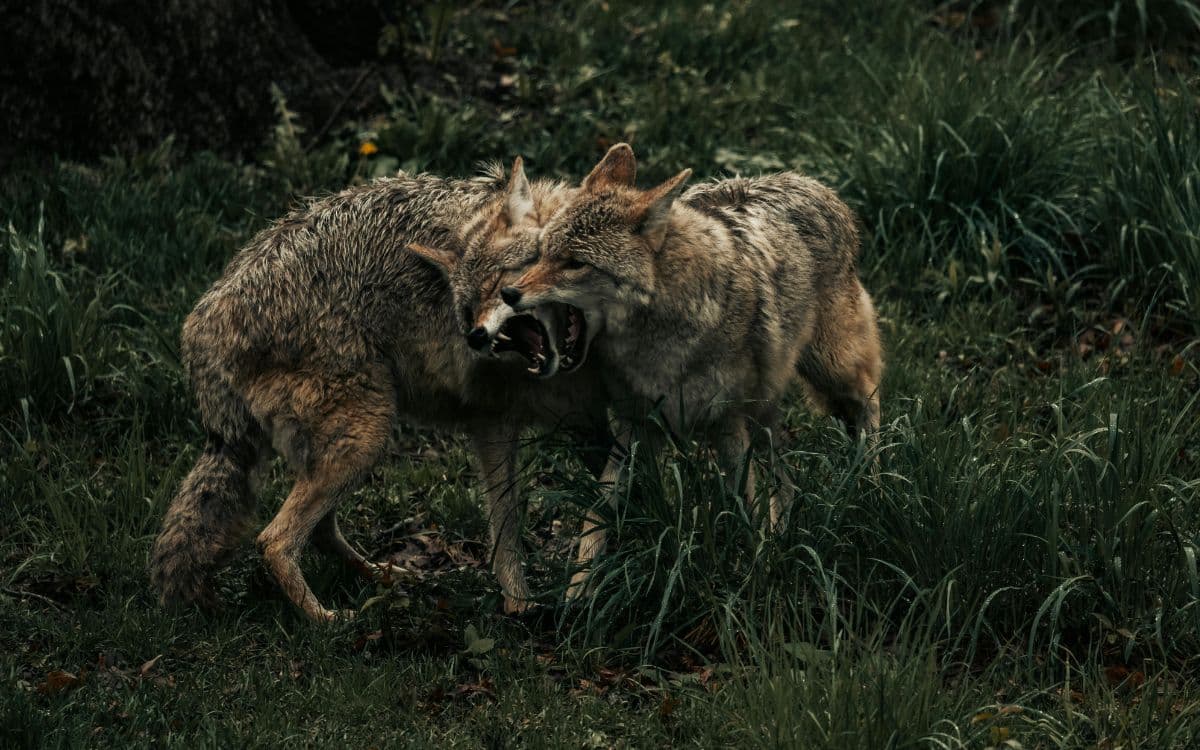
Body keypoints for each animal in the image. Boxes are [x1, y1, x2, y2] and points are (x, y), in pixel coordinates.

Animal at [149, 160, 611, 622]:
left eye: (503, 283)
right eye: (464, 305)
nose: (475, 336)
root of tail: (199, 329)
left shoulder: (585, 419)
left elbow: (606, 492)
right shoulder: (494, 423)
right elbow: (507, 528)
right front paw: (523, 604)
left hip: (341, 447)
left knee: (319, 532)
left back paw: (386, 576)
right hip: (365, 437)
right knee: (274, 540)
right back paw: (329, 620)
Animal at [495, 144, 883, 596]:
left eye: (575, 263)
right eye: (542, 252)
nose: (509, 292)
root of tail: (814, 184)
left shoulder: (727, 425)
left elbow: (743, 510)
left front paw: (756, 575)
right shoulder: (636, 425)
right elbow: (599, 510)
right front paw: (578, 588)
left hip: (831, 370)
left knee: (869, 398)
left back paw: (872, 481)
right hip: (766, 407)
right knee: (785, 475)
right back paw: (786, 528)